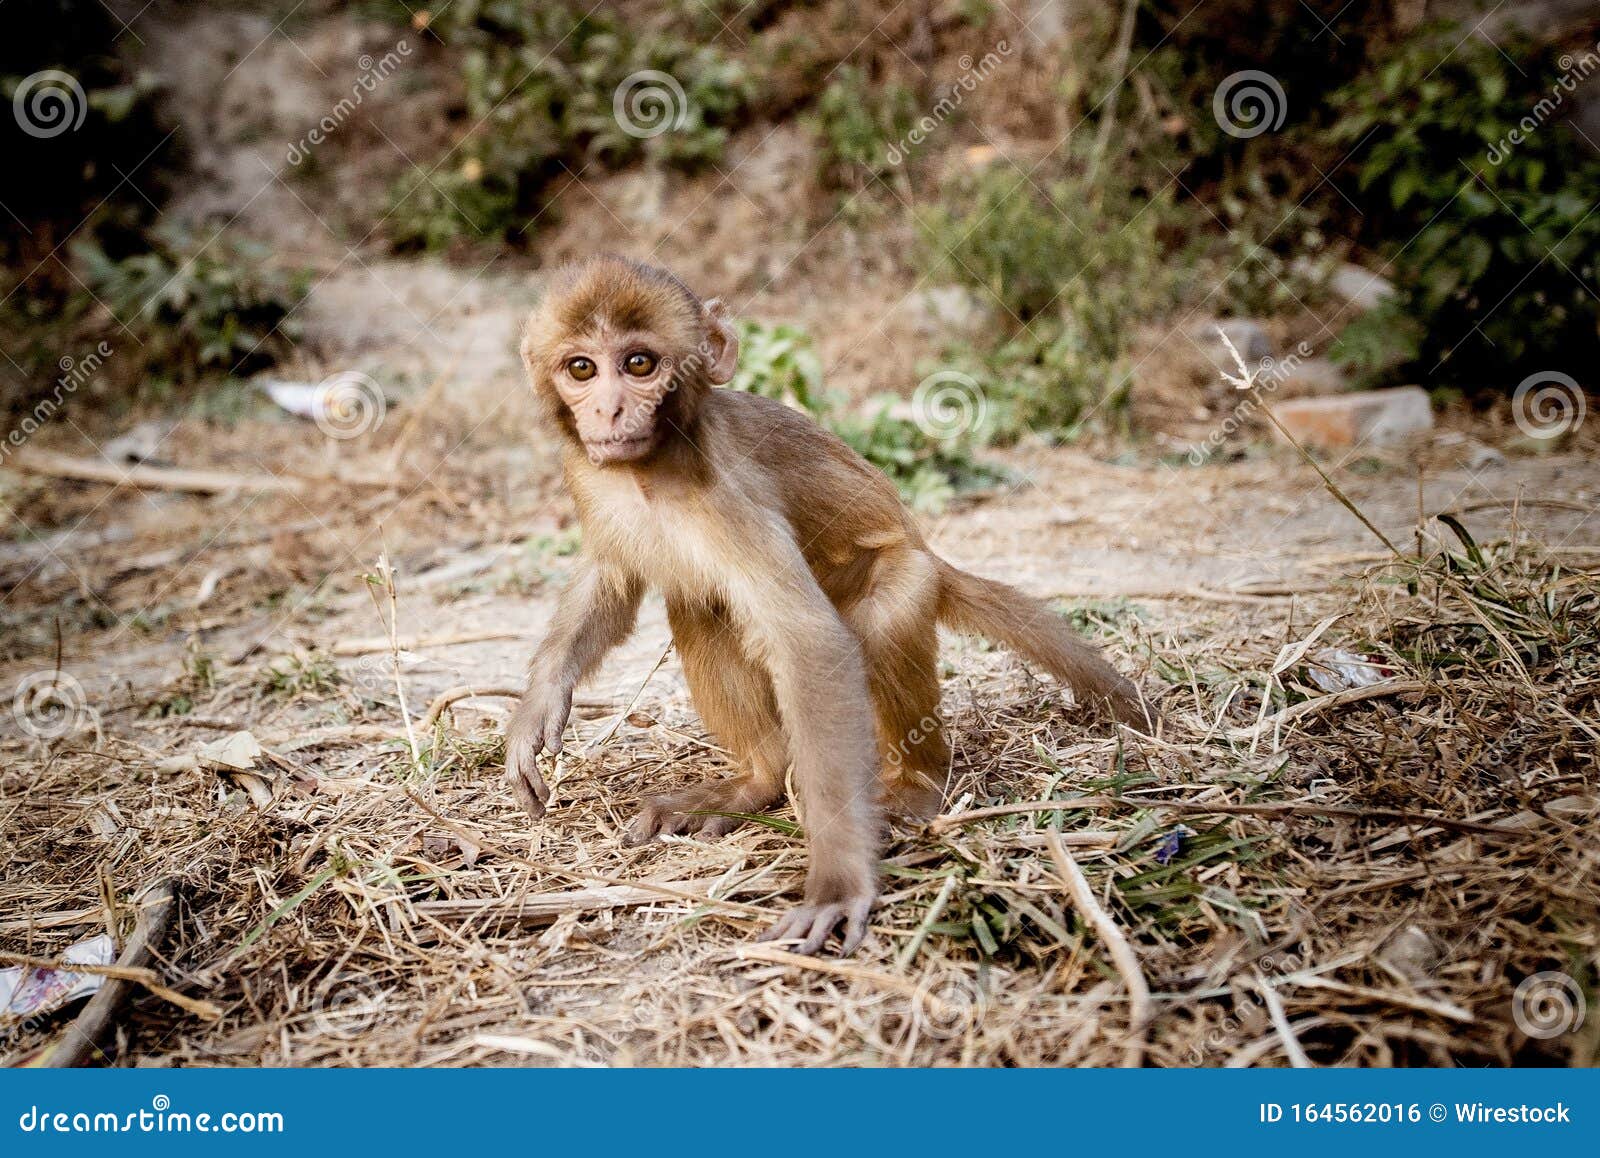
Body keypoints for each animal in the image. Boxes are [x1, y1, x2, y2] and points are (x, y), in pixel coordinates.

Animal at [505, 256, 1156, 956]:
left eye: (639, 364)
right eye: (581, 368)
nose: (609, 408)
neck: (650, 471)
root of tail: (929, 552)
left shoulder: (730, 497)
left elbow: (810, 641)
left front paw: (838, 881)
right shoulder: (588, 477)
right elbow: (612, 576)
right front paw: (539, 704)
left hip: (906, 574)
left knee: (878, 620)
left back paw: (918, 788)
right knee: (700, 606)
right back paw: (757, 783)